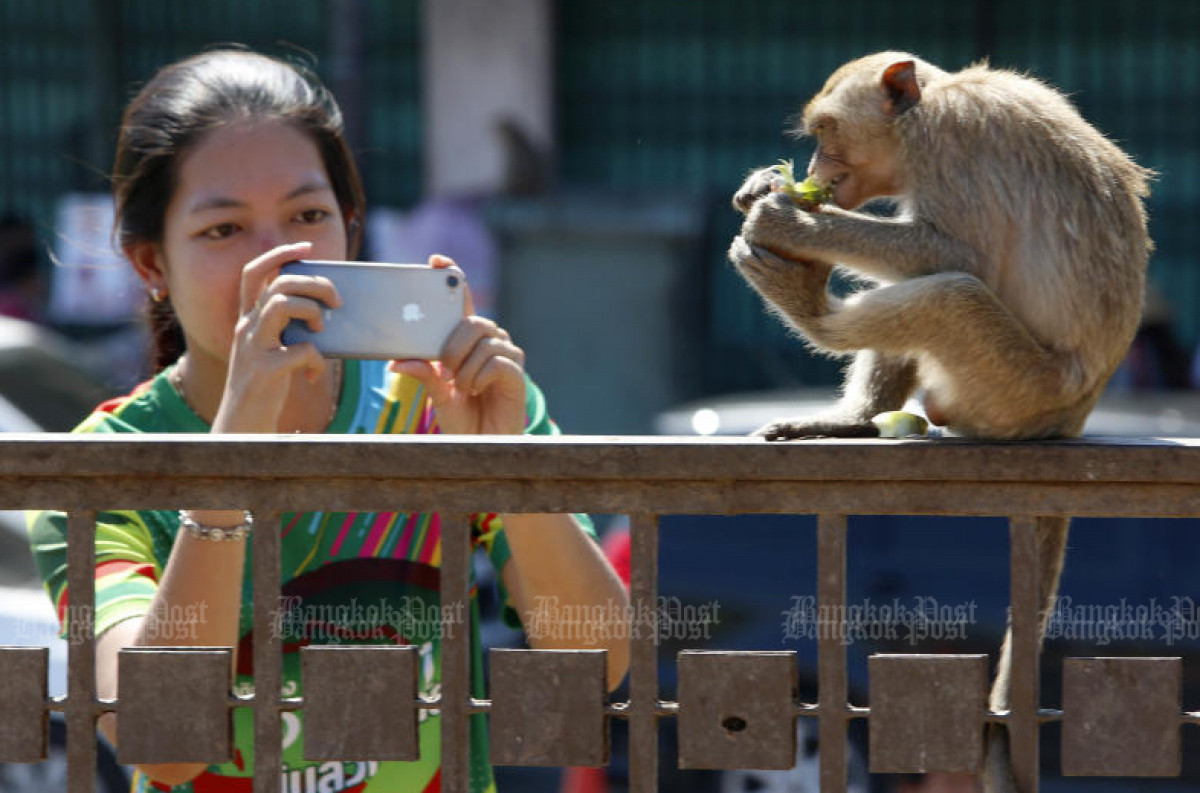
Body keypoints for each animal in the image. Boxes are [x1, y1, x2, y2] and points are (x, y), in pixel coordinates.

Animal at [727, 52, 1152, 792]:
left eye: (826, 130)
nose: (813, 164)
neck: (930, 106)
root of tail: (1072, 418)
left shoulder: (952, 147)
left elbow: (953, 254)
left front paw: (792, 222)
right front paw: (766, 186)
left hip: (1008, 389)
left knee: (949, 293)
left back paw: (809, 306)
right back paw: (856, 422)